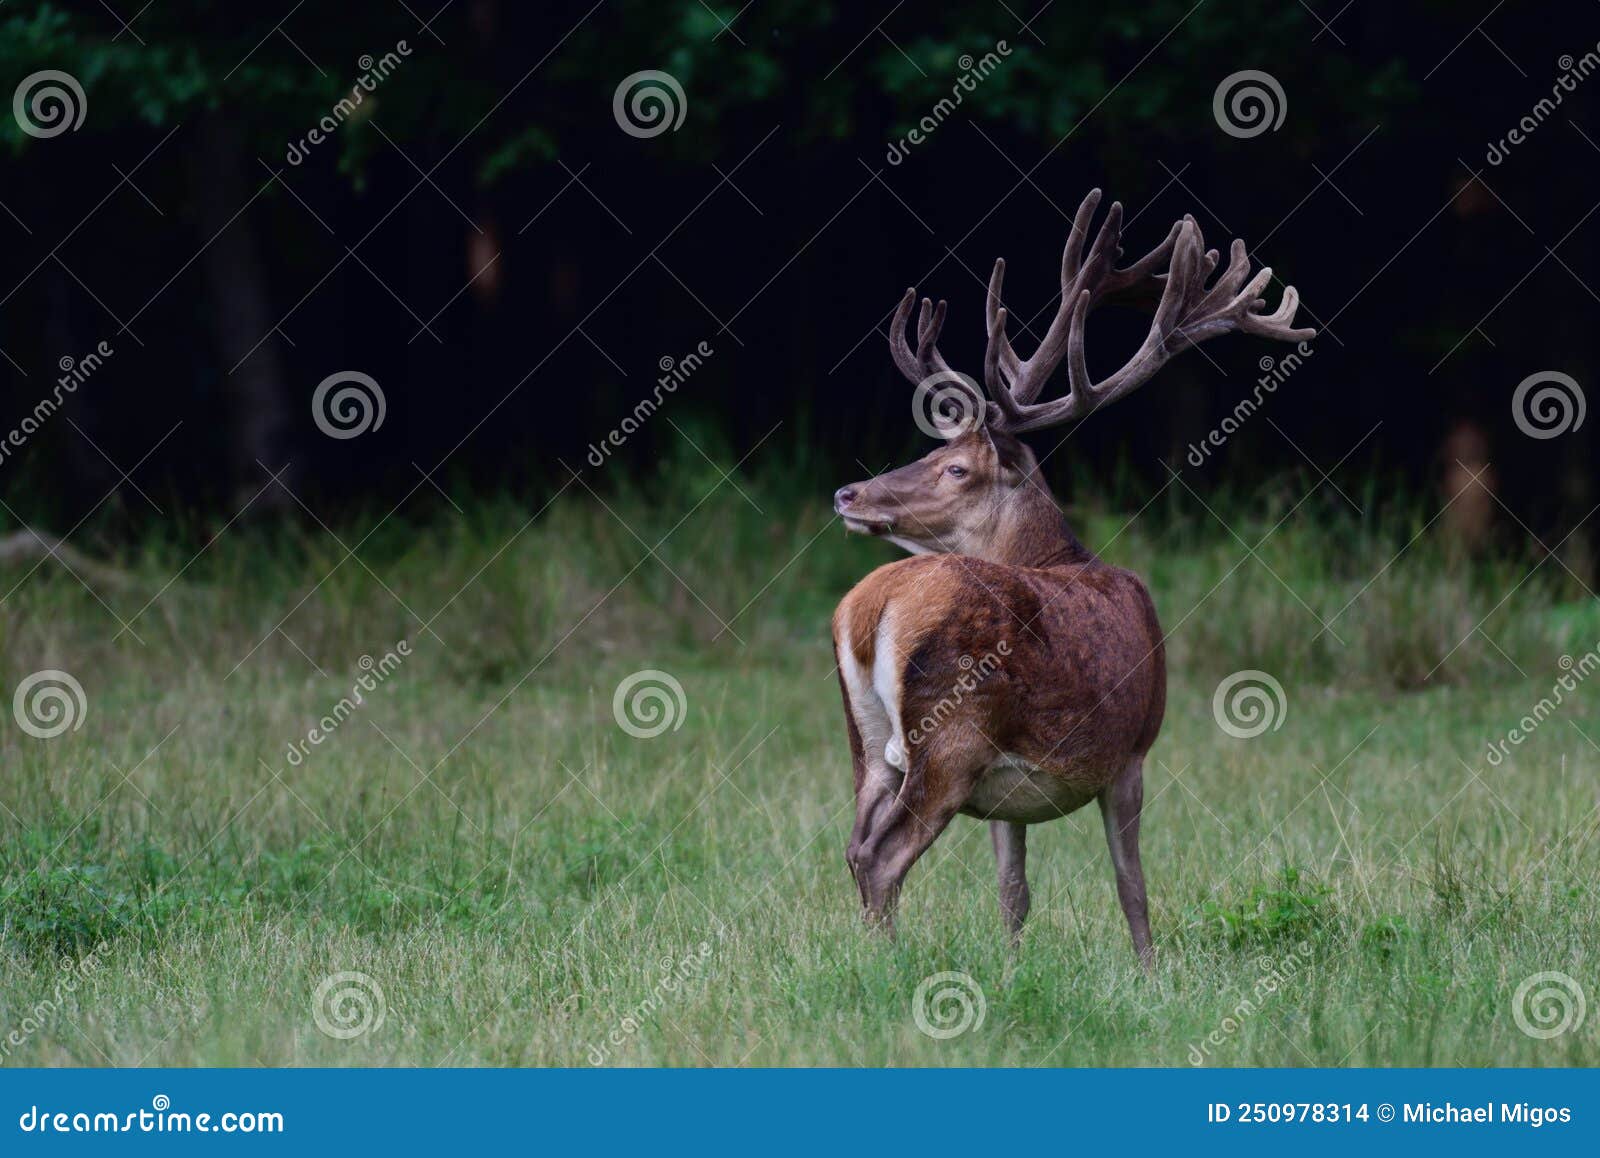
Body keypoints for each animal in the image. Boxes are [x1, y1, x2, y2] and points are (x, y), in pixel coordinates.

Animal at [831, 189, 1313, 965]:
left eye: (952, 466)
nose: (848, 493)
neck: (1058, 556)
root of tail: (869, 611)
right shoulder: (1132, 750)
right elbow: (1131, 884)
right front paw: (1149, 970)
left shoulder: (1005, 790)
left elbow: (1013, 890)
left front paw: (1011, 966)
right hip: (950, 736)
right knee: (880, 856)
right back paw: (886, 964)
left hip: (870, 743)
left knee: (853, 846)